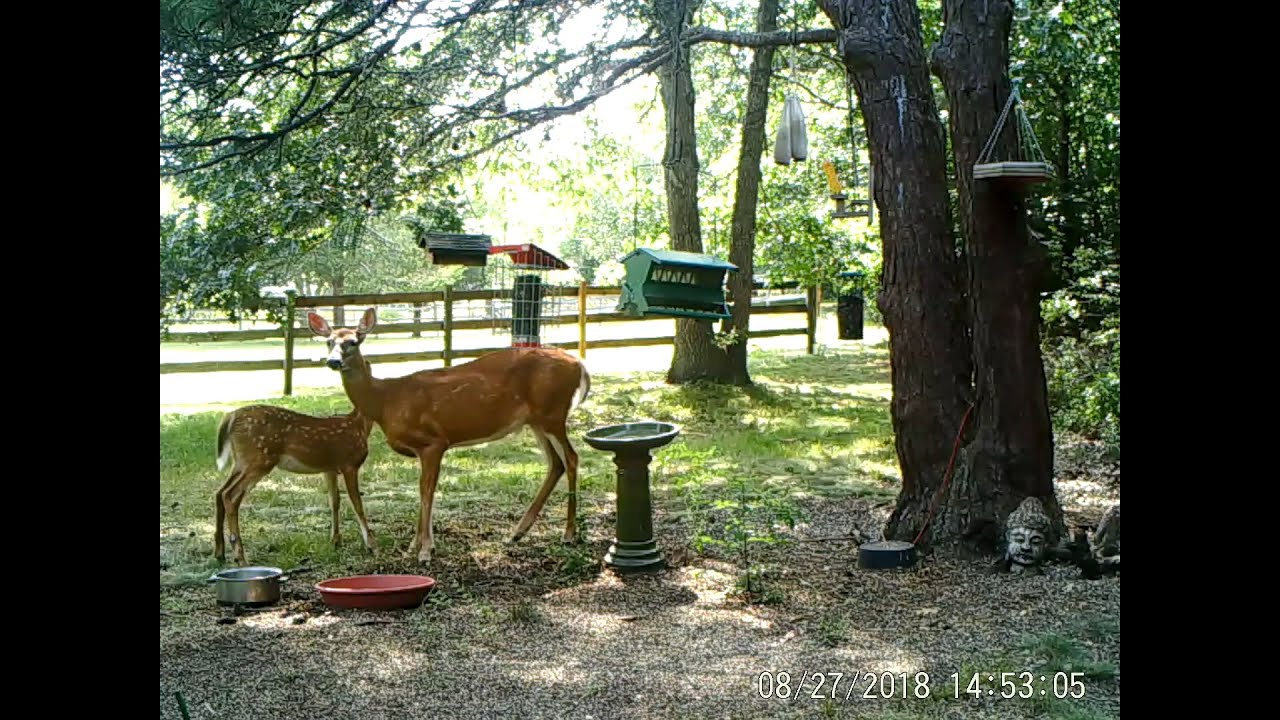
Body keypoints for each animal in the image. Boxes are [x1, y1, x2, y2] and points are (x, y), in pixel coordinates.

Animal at [213, 404, 376, 565]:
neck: (359, 425)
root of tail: (231, 416)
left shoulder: (329, 469)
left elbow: (334, 502)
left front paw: (335, 541)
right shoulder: (350, 465)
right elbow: (357, 504)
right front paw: (371, 545)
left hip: (241, 462)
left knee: (220, 492)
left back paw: (220, 553)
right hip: (259, 459)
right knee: (229, 494)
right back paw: (240, 558)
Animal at [306, 307, 591, 566]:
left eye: (353, 342)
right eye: (329, 341)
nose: (333, 361)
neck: (385, 400)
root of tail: (579, 364)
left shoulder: (434, 442)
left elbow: (426, 490)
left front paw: (424, 550)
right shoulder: (425, 448)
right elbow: (423, 490)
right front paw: (414, 547)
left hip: (553, 414)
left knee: (572, 458)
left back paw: (568, 534)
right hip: (537, 420)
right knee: (556, 463)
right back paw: (517, 533)